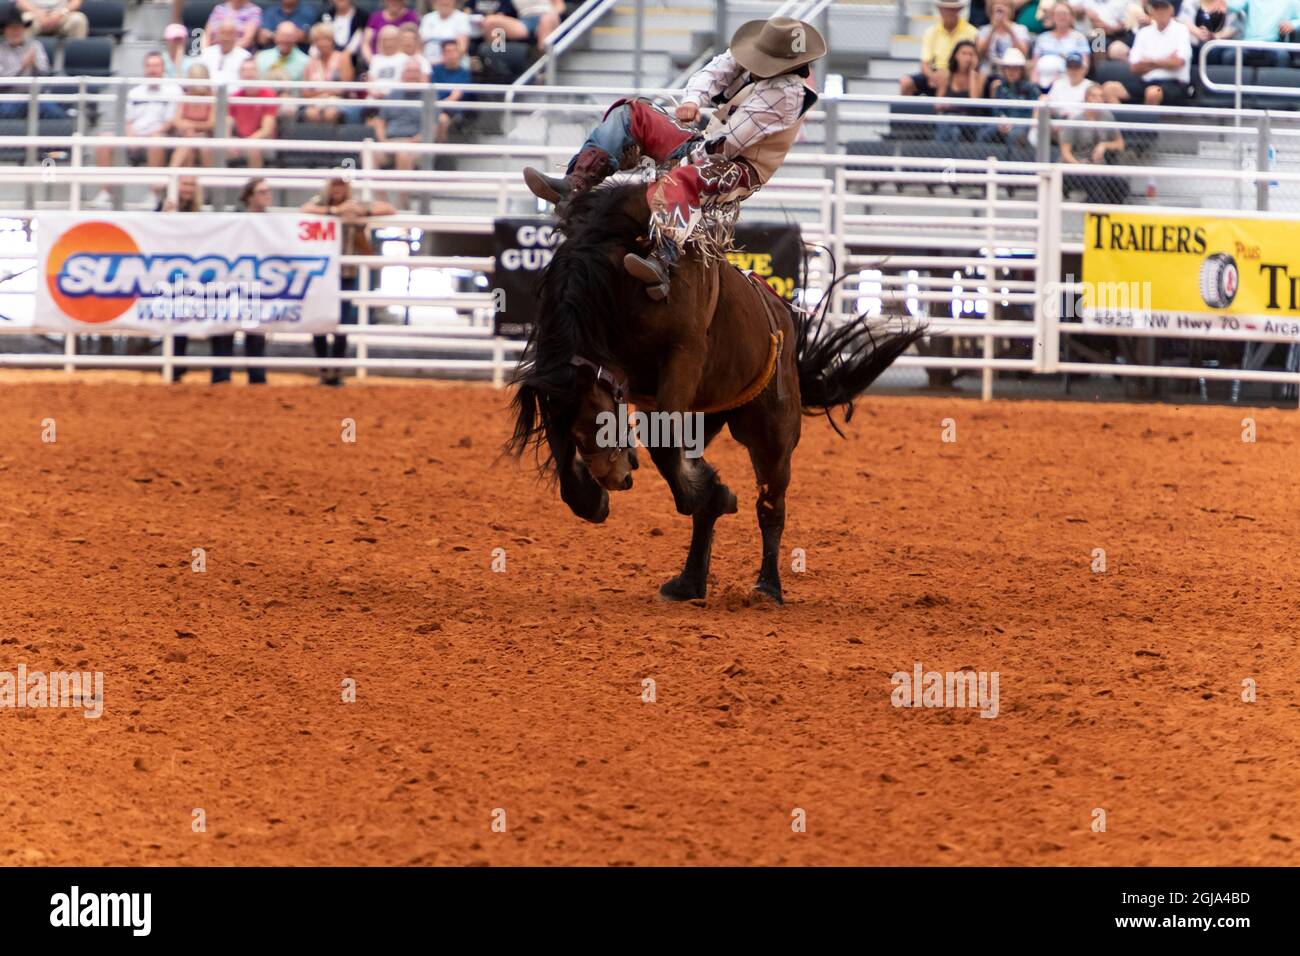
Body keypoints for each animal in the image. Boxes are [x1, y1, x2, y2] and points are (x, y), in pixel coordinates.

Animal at [507, 182, 923, 604]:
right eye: (575, 425)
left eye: (601, 418)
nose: (614, 479)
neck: (617, 281)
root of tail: (781, 314)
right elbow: (570, 461)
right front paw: (593, 499)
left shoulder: (685, 354)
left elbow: (664, 447)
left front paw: (717, 493)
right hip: (703, 418)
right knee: (697, 489)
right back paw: (690, 580)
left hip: (772, 429)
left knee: (770, 504)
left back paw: (767, 586)